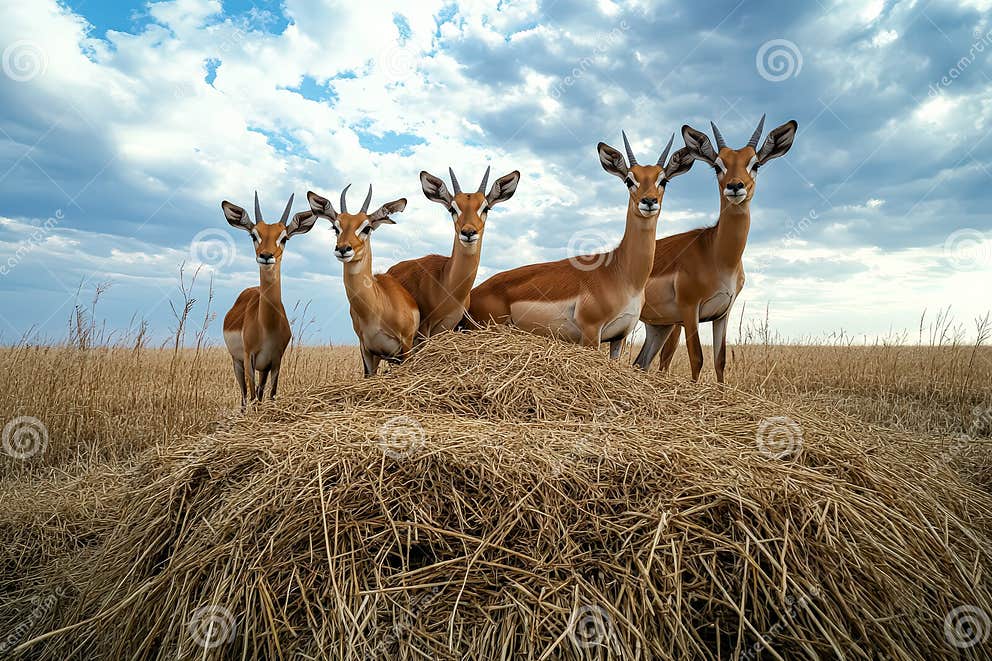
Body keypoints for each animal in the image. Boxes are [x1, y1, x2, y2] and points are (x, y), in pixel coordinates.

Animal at [222, 193, 318, 406]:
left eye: (284, 237)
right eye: (254, 235)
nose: (266, 256)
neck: (267, 326)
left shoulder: (274, 361)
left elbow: (270, 395)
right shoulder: (249, 358)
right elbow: (251, 397)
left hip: (262, 369)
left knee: (259, 395)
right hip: (236, 362)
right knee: (244, 398)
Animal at [306, 184, 418, 376]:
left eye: (367, 227)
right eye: (336, 227)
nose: (343, 249)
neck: (376, 309)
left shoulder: (406, 346)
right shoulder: (367, 351)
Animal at [468, 132, 693, 355]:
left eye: (663, 180)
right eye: (629, 180)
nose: (648, 201)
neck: (623, 275)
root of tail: (473, 293)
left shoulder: (619, 338)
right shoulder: (591, 332)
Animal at [634, 116, 798, 381]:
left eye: (755, 164)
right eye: (718, 166)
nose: (735, 186)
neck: (717, 256)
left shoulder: (722, 314)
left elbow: (720, 360)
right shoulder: (690, 311)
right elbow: (697, 358)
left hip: (659, 326)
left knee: (642, 362)